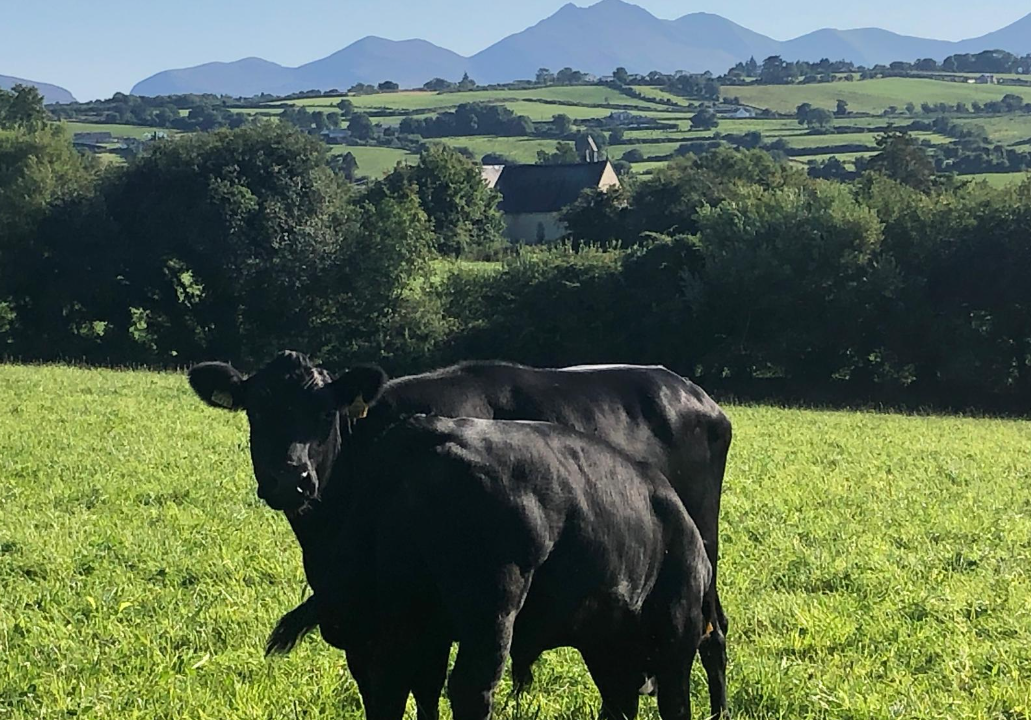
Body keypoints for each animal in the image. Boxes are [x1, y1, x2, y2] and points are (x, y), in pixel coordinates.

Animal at [187, 351, 723, 720]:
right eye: (256, 411)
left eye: (324, 414)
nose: (291, 478)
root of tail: (693, 392)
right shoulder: (369, 632)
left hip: (699, 552)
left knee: (712, 636)